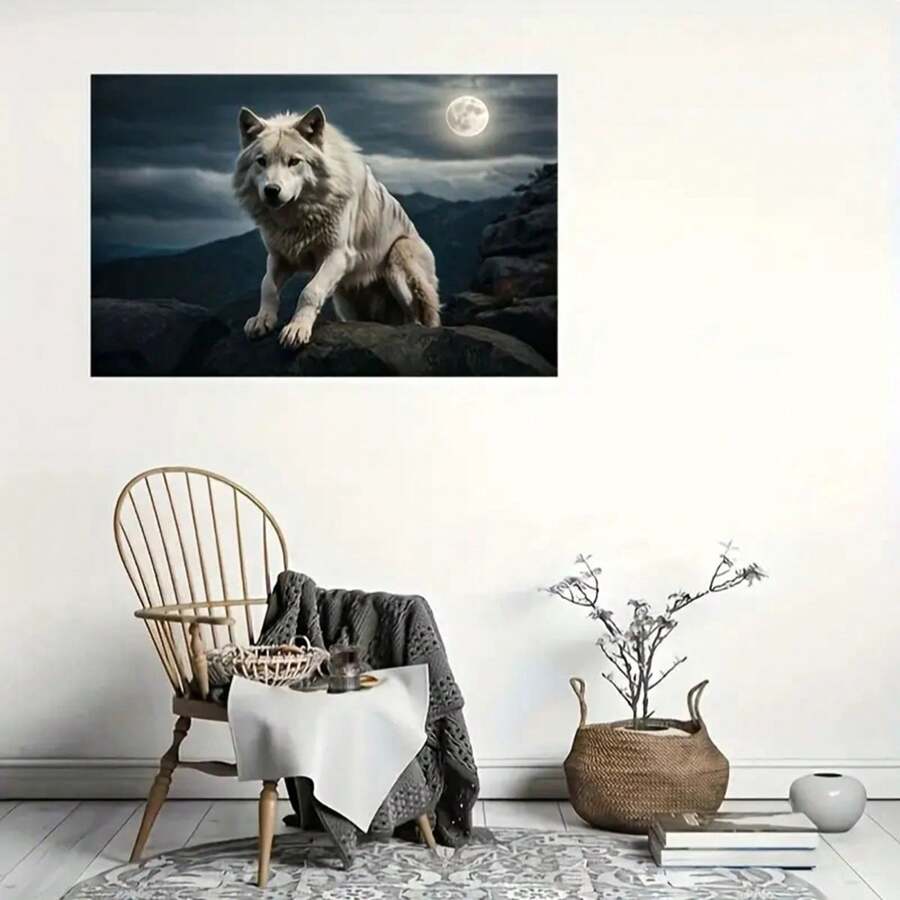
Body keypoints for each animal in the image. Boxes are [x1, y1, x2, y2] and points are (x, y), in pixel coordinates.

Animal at [233, 105, 441, 348]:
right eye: (262, 161)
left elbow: (310, 291)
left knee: (415, 317)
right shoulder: (279, 257)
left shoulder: (337, 254)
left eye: (294, 161)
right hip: (345, 301)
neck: (298, 216)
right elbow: (267, 286)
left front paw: (296, 329)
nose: (272, 190)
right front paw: (262, 320)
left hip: (398, 260)